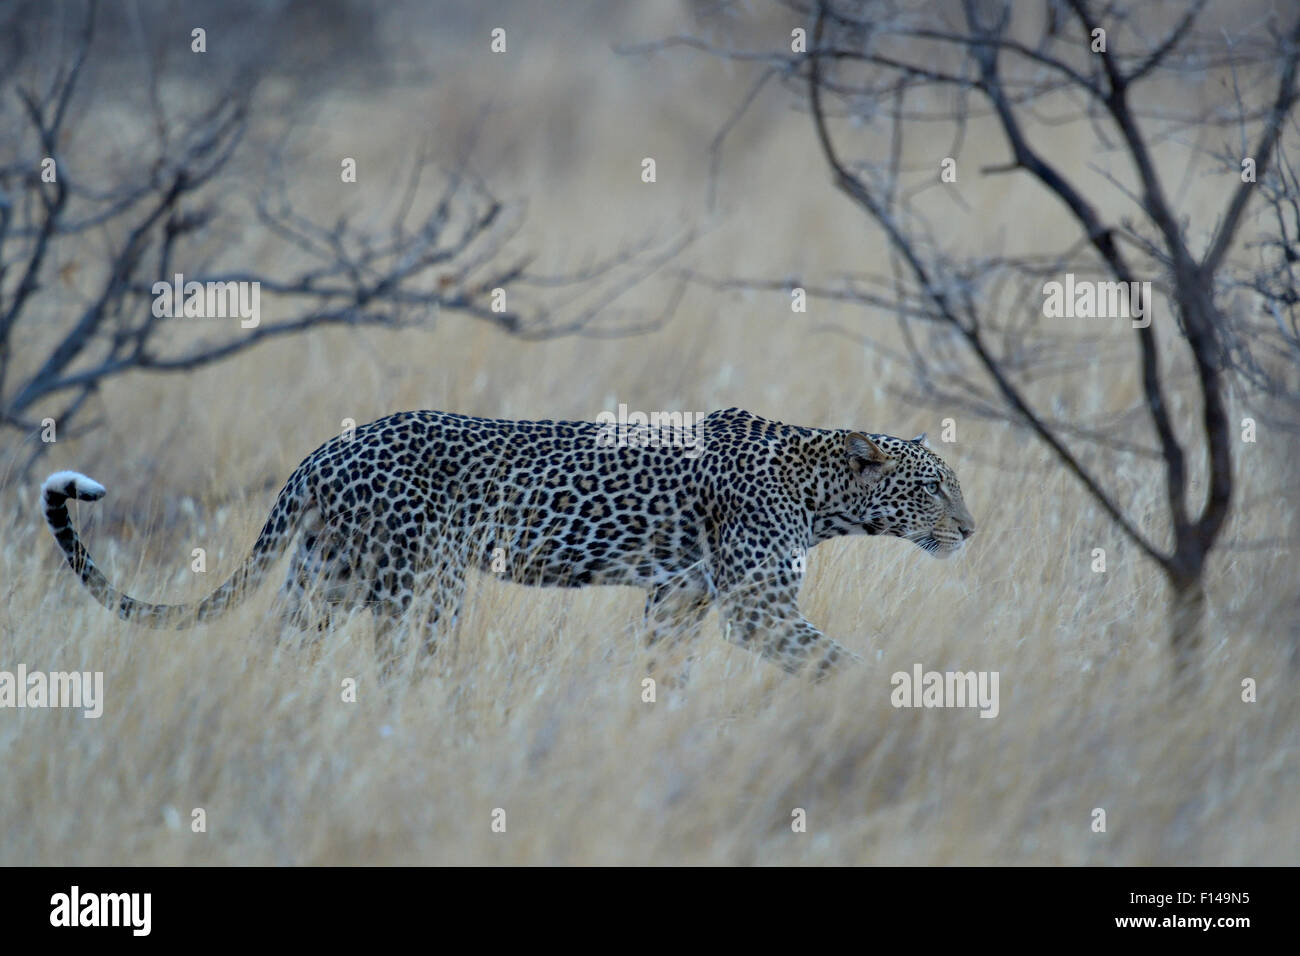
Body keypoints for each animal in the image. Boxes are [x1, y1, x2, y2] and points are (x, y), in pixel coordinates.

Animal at [41, 407, 974, 679]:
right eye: (933, 487)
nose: (971, 527)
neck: (821, 491)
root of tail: (329, 448)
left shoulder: (679, 597)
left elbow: (662, 671)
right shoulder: (756, 605)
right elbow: (834, 659)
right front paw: (886, 698)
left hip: (326, 573)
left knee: (283, 643)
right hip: (419, 578)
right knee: (404, 661)